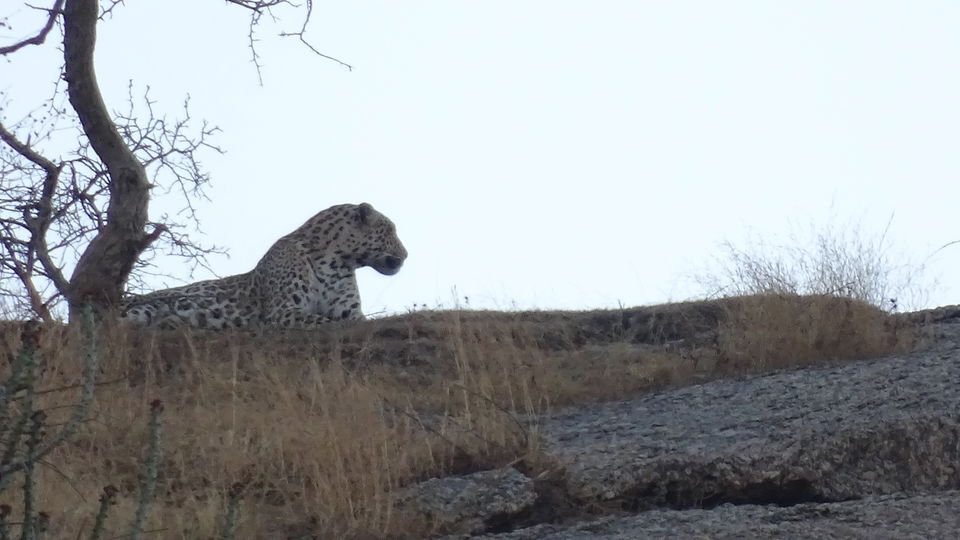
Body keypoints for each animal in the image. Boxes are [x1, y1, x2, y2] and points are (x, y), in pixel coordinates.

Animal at [120, 202, 407, 329]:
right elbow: (324, 322)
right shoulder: (284, 311)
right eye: (390, 231)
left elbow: (359, 321)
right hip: (141, 309)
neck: (337, 261)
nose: (406, 255)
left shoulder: (349, 310)